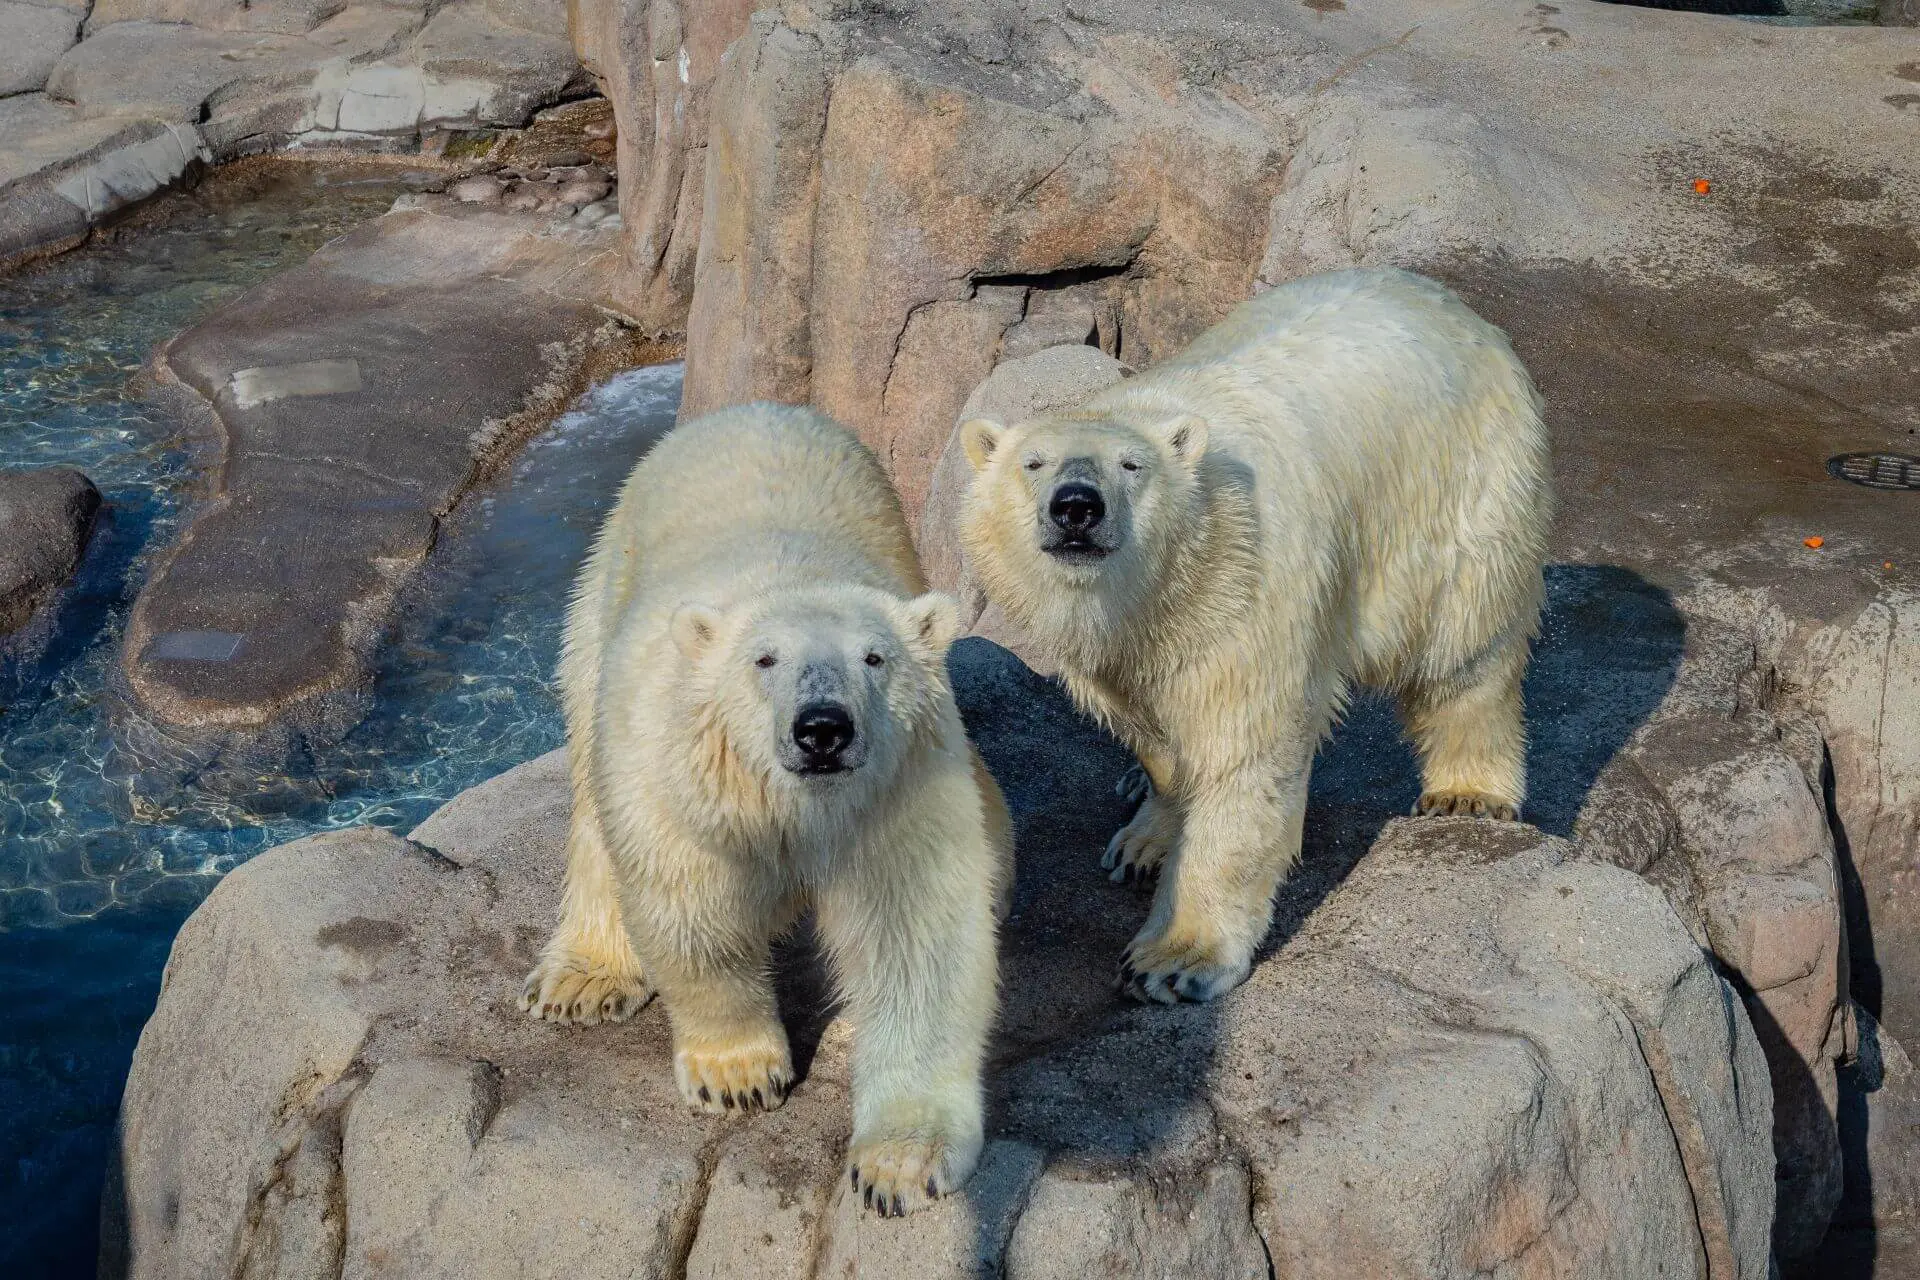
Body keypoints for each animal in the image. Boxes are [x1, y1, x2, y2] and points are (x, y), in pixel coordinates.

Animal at [520, 402, 1012, 1216]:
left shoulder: (901, 788)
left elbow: (917, 937)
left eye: (874, 657)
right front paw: (741, 1076)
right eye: (765, 660)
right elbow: (696, 909)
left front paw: (899, 1164)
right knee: (592, 787)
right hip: (603, 586)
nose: (823, 728)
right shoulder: (689, 775)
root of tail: (752, 407)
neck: (801, 804)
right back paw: (585, 980)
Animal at [957, 267, 1551, 1006]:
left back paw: (1469, 789)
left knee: (1465, 647)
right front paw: (1145, 841)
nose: (1076, 507)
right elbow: (1157, 735)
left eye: (1130, 467)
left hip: (1461, 492)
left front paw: (1174, 959)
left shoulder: (1247, 589)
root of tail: (1448, 302)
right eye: (1033, 463)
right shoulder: (1130, 647)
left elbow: (1241, 756)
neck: (1154, 589)